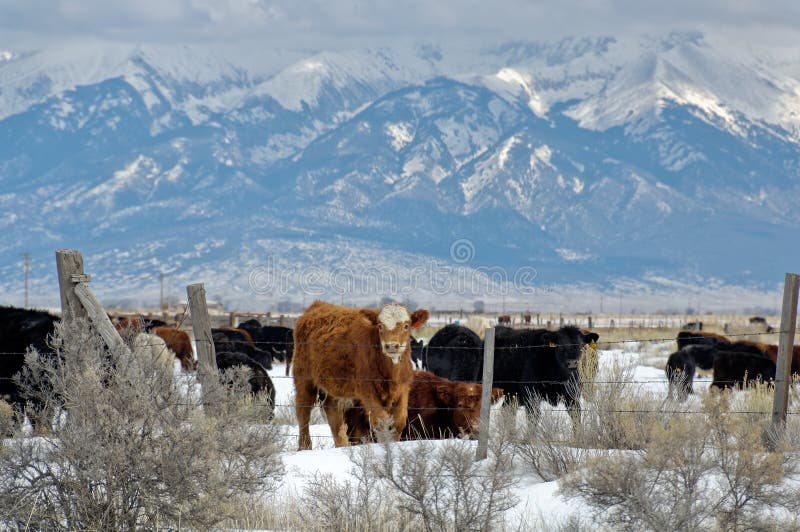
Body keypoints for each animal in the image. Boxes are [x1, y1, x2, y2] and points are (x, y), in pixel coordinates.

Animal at [292, 301, 429, 450]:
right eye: (380, 326)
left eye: (406, 326)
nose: (391, 346)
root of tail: (317, 305)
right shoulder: (367, 391)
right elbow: (381, 421)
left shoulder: (403, 389)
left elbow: (398, 422)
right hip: (303, 378)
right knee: (303, 412)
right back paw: (304, 447)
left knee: (332, 412)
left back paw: (342, 445)